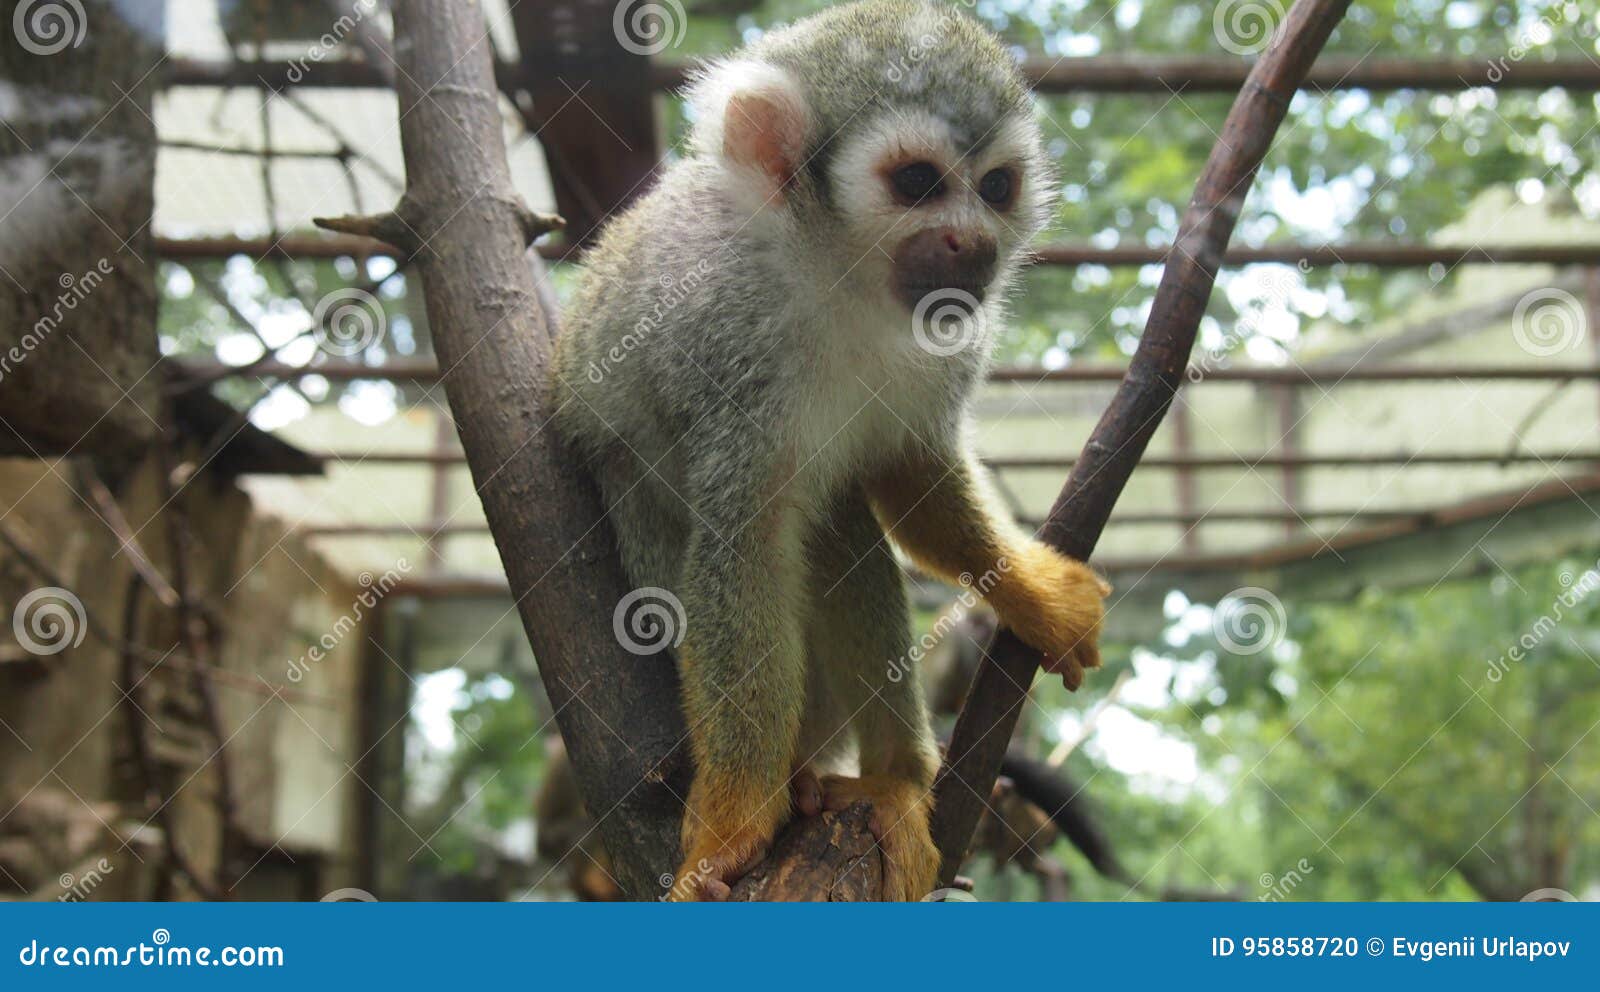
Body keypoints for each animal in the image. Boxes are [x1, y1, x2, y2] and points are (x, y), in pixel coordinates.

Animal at [549, 0, 1107, 901]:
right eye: (917, 182)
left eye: (995, 187)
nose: (973, 243)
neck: (842, 277)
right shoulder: (720, 328)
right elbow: (744, 546)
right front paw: (732, 829)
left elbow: (910, 475)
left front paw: (1034, 595)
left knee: (844, 523)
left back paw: (889, 781)